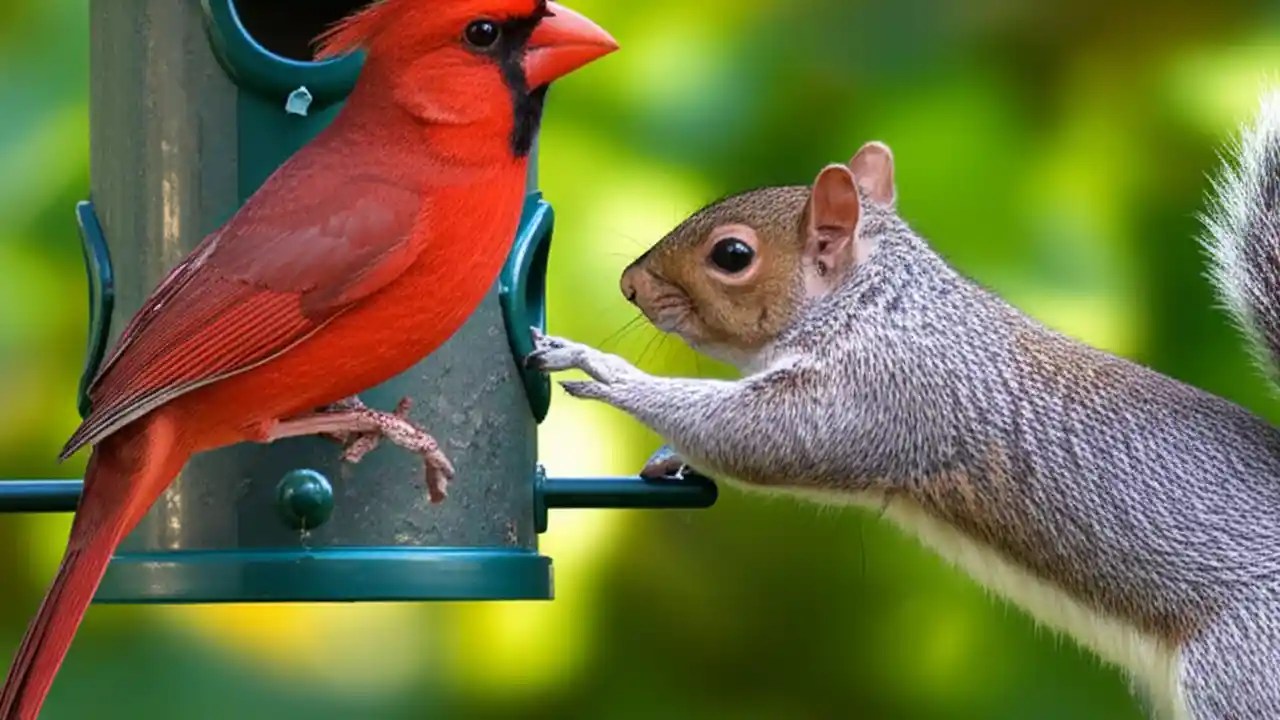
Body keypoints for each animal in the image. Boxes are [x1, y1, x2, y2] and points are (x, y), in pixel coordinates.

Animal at [526, 90, 1280, 719]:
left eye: (733, 255)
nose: (629, 284)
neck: (877, 302)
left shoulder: (883, 389)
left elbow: (763, 435)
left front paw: (605, 370)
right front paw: (668, 455)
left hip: (1237, 670)